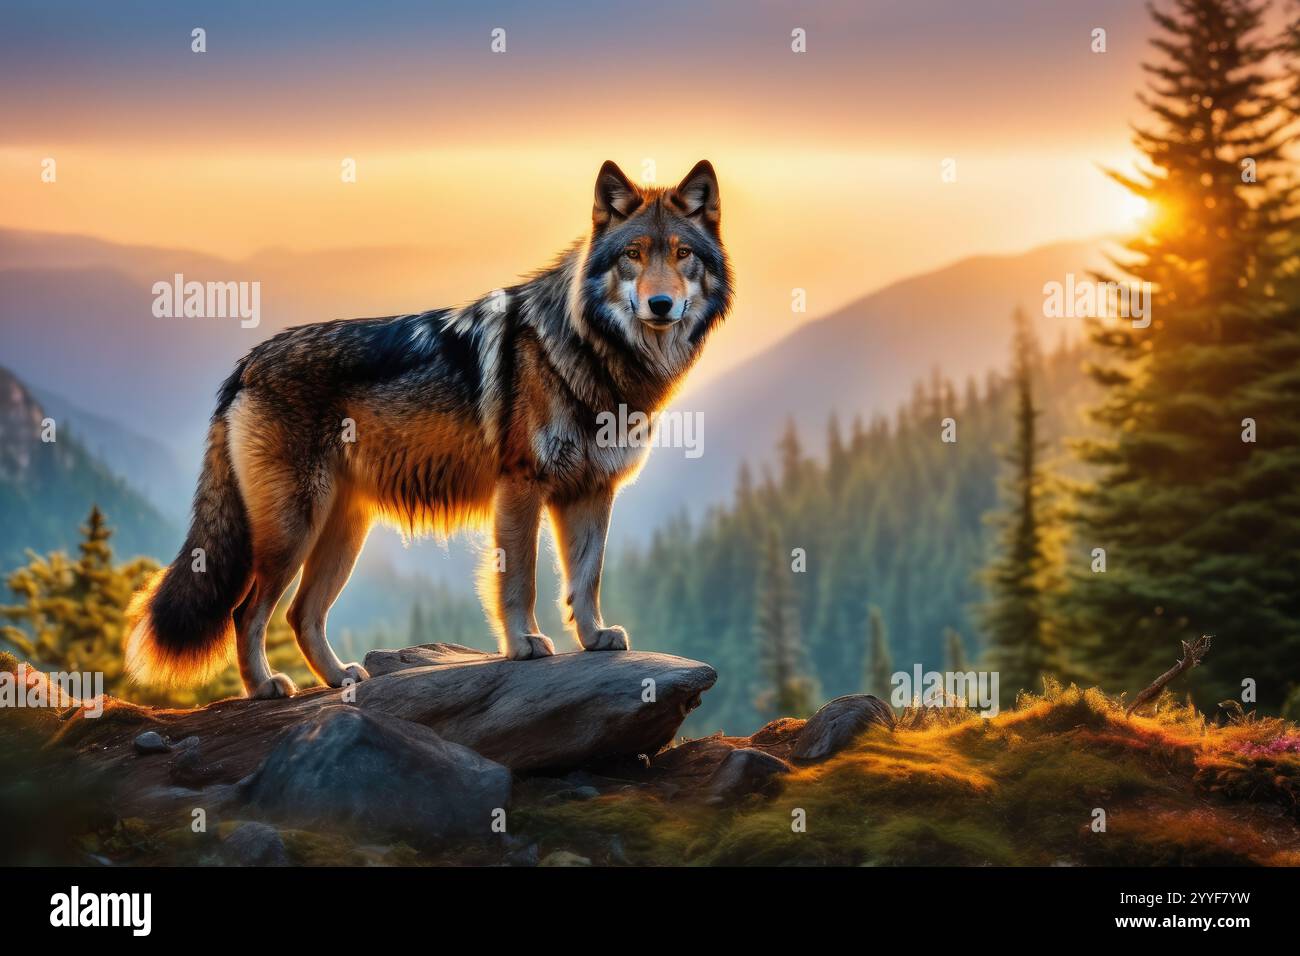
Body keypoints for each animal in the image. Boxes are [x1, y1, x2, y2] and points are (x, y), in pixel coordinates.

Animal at [126, 160, 732, 699]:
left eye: (681, 254)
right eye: (634, 254)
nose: (661, 304)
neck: (593, 352)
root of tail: (247, 363)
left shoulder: (590, 491)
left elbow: (585, 579)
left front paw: (594, 637)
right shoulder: (521, 486)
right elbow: (521, 580)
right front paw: (524, 644)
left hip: (342, 533)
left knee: (300, 614)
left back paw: (339, 679)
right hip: (293, 529)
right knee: (245, 613)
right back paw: (264, 688)